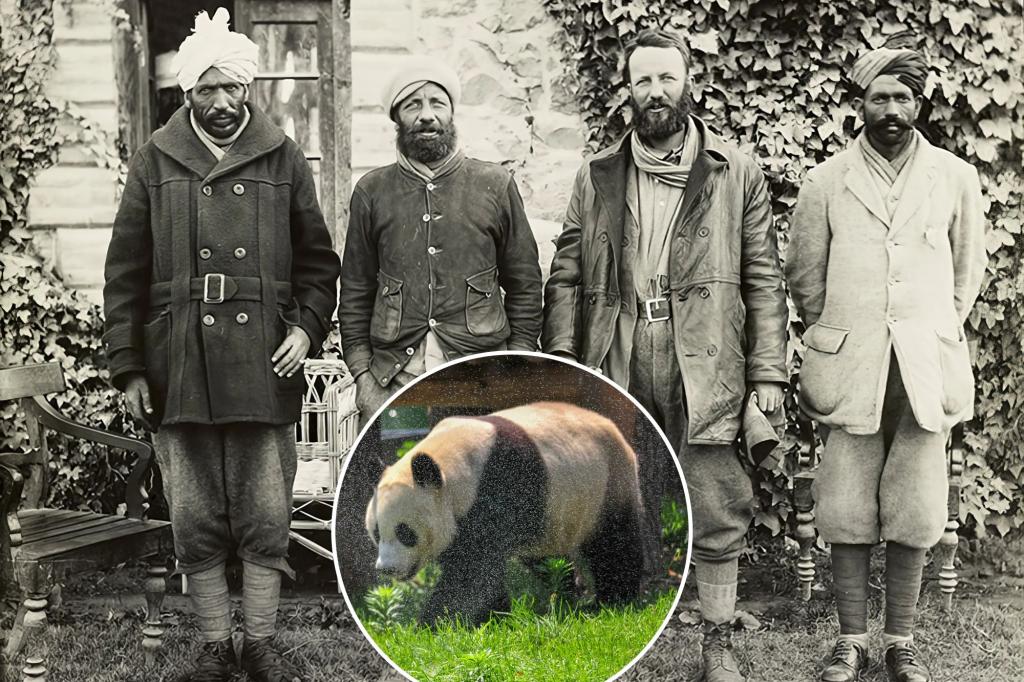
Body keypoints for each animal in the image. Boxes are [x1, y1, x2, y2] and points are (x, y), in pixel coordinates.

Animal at [364, 401, 645, 626]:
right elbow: (476, 569)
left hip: (609, 481)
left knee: (614, 544)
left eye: (405, 532)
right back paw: (570, 592)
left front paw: (431, 626)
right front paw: (491, 619)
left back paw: (614, 600)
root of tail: (611, 426)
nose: (386, 569)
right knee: (549, 557)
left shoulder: (499, 487)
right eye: (377, 533)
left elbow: (472, 572)